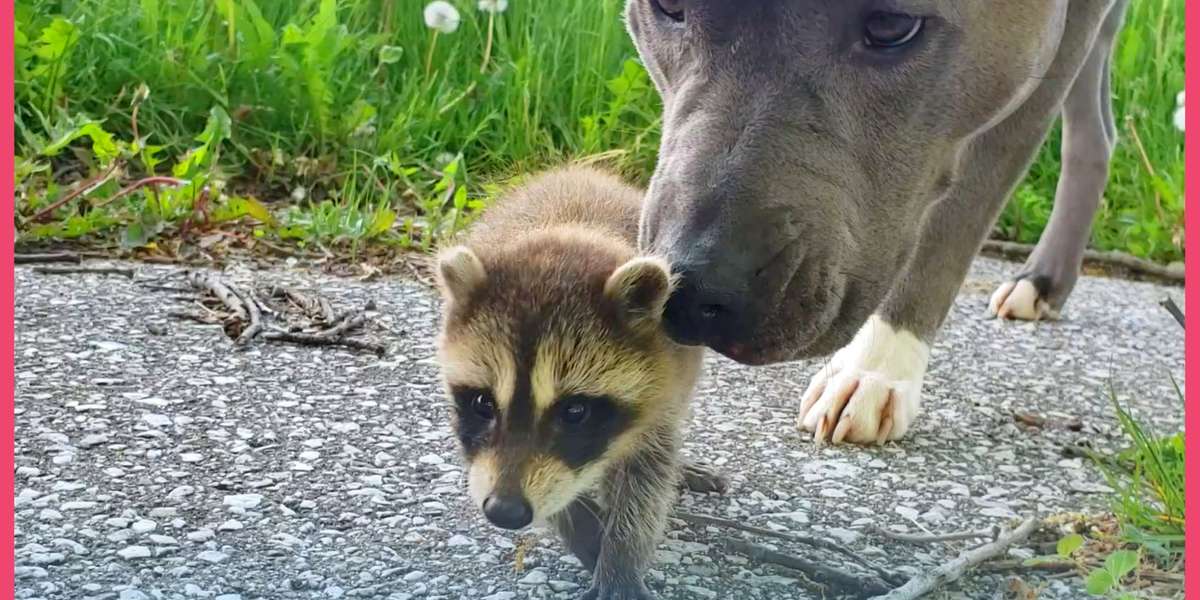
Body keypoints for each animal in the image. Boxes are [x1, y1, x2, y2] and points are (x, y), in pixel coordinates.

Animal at [433, 166, 717, 599]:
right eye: (483, 403)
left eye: (575, 411)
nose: (504, 512)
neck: (569, 234)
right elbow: (561, 498)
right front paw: (588, 536)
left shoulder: (661, 391)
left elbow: (645, 480)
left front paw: (621, 557)